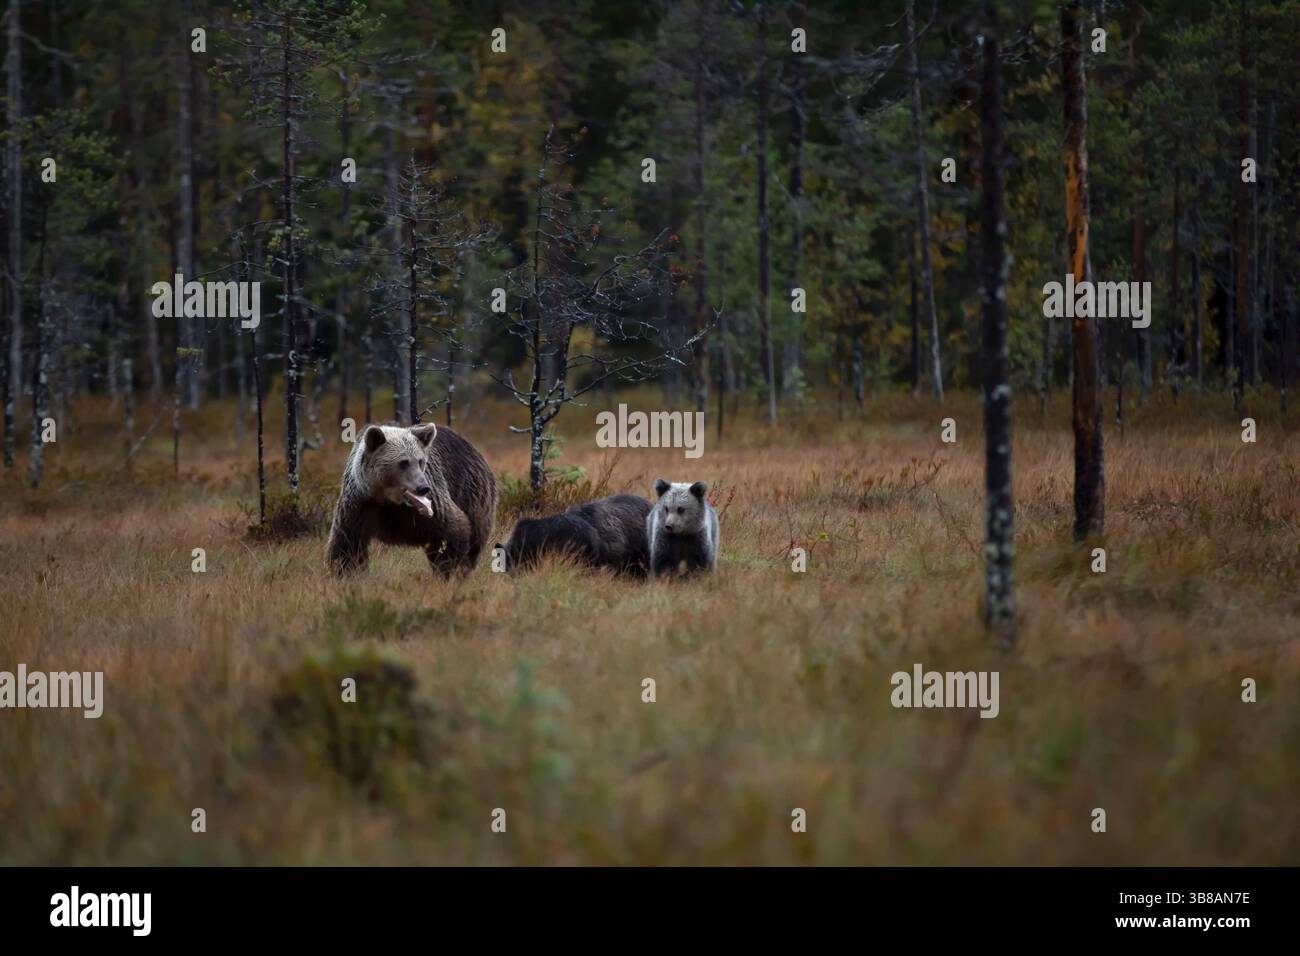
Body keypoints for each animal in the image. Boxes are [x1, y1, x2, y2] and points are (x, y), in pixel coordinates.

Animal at [325, 422, 497, 576]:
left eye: (421, 461)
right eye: (403, 462)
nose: (423, 487)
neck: (387, 499)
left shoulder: (433, 505)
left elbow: (454, 529)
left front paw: (450, 571)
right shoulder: (360, 502)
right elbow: (347, 544)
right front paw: (346, 572)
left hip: (473, 494)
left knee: (475, 539)